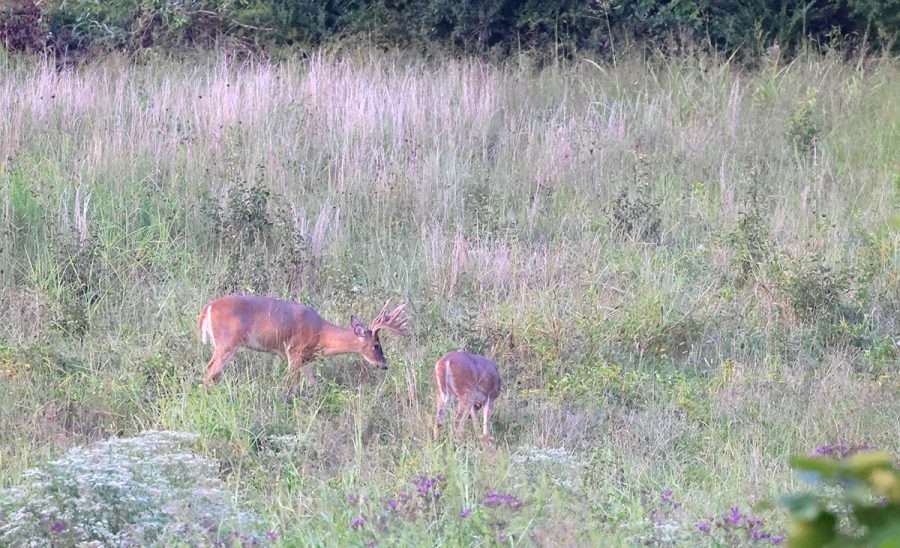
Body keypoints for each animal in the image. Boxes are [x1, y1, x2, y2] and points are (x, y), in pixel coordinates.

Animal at [197, 295, 409, 390]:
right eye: (376, 345)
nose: (384, 365)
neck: (321, 334)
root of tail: (208, 306)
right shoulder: (294, 352)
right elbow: (292, 382)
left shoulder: (308, 360)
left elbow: (312, 383)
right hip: (228, 342)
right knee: (210, 370)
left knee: (214, 373)